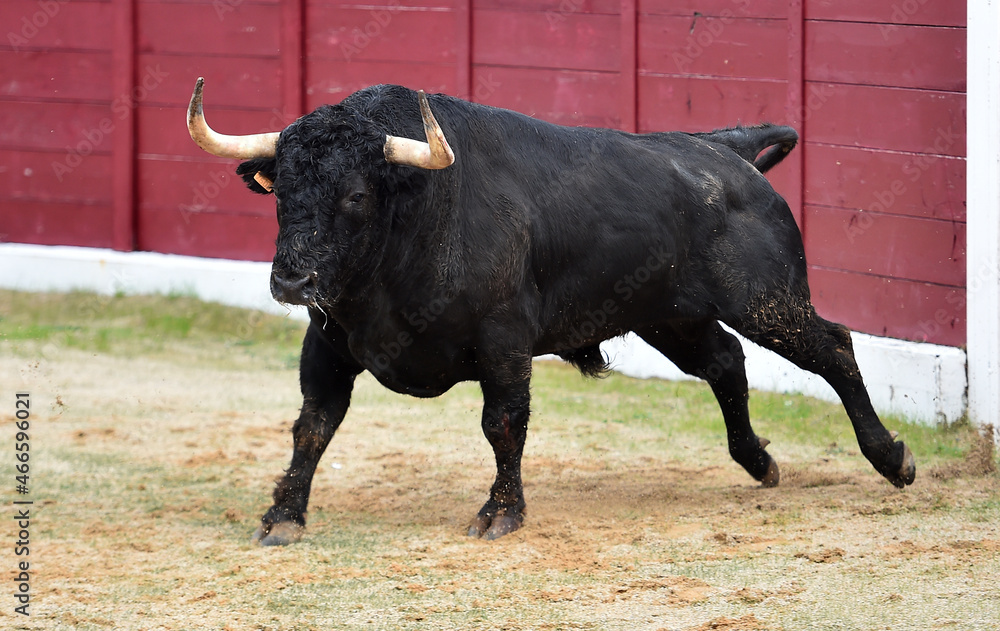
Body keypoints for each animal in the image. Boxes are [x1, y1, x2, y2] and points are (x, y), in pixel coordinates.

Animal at [186, 78, 915, 546]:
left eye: (357, 195)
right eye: (281, 191)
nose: (291, 278)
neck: (416, 217)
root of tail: (726, 150)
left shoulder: (504, 339)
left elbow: (503, 424)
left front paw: (500, 513)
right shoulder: (329, 343)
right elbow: (312, 425)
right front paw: (283, 515)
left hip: (767, 300)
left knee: (834, 347)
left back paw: (892, 460)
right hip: (670, 316)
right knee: (725, 363)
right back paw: (759, 463)